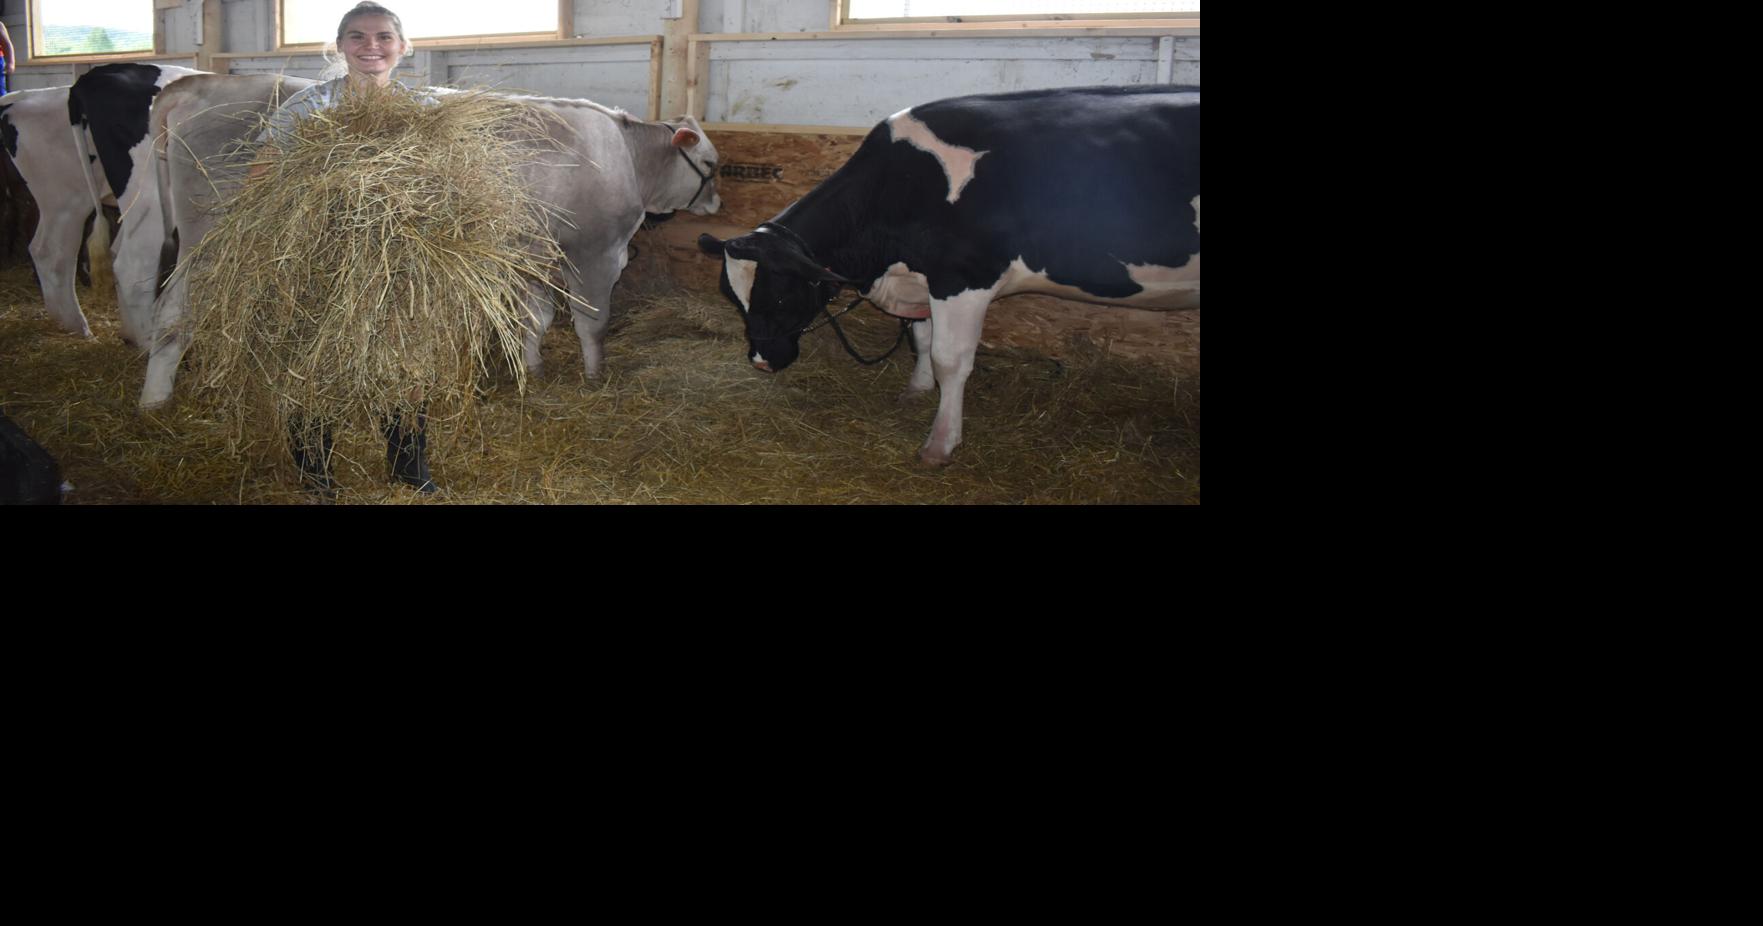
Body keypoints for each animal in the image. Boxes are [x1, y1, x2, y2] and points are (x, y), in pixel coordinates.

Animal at [138, 78, 721, 409]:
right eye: (711, 164)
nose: (717, 203)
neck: (624, 155)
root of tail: (197, 86)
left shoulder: (533, 252)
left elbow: (535, 318)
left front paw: (531, 368)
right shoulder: (596, 251)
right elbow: (592, 322)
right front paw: (596, 376)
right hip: (216, 239)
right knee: (173, 309)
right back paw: (155, 398)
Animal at [697, 85, 1200, 465]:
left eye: (782, 297)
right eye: (735, 300)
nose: (761, 361)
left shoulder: (963, 279)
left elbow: (950, 360)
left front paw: (939, 443)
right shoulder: (923, 280)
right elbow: (920, 339)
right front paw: (916, 389)